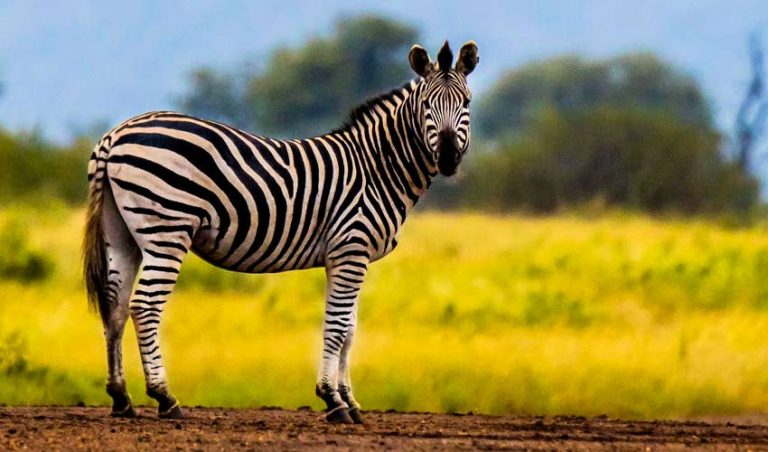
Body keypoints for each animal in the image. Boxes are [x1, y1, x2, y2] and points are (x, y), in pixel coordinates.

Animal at [83, 40, 478, 424]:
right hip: (167, 230)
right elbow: (337, 326)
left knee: (115, 306)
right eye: (426, 105)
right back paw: (165, 398)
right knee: (145, 307)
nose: (447, 158)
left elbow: (350, 330)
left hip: (122, 235)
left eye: (467, 103)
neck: (376, 168)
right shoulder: (350, 248)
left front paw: (350, 401)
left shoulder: (352, 257)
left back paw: (121, 398)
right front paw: (332, 400)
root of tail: (116, 134)